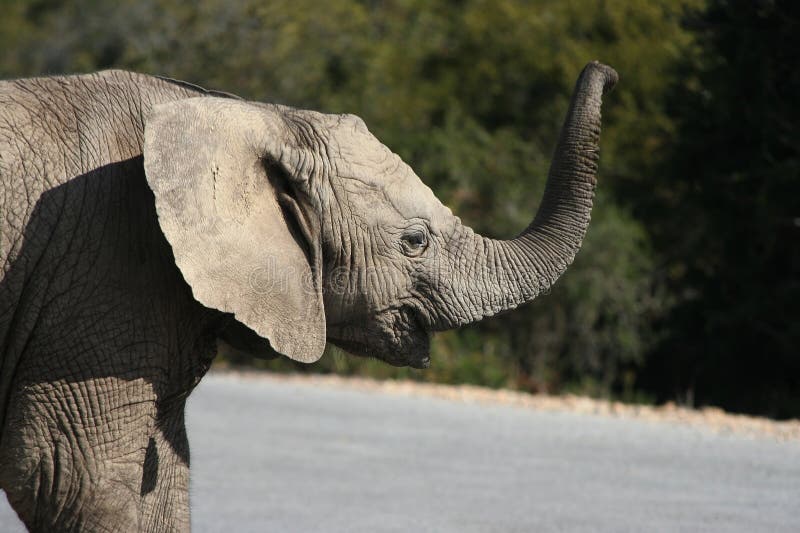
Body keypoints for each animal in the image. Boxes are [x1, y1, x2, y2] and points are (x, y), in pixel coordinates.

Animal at [0, 61, 617, 531]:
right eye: (414, 241)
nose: (606, 73)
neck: (247, 116)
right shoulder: (103, 266)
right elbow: (74, 480)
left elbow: (160, 489)